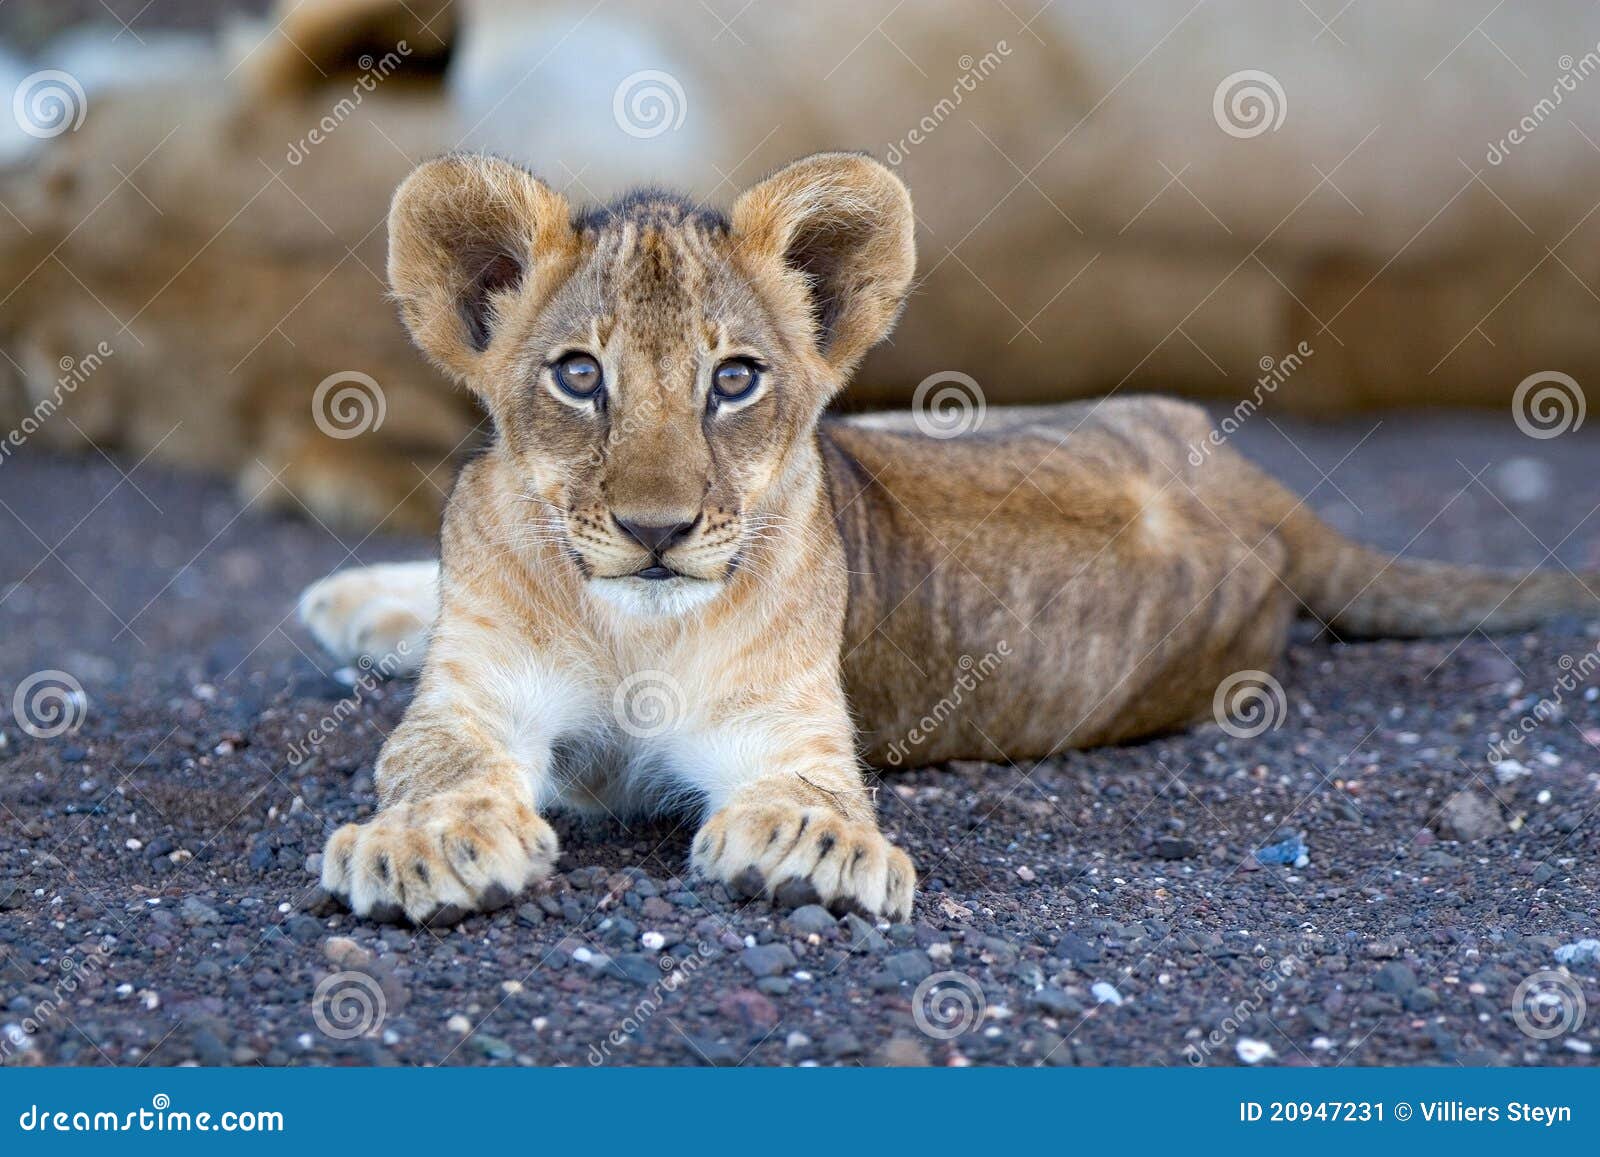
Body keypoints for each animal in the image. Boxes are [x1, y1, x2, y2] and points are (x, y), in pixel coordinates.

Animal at [299, 151, 1600, 925]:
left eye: (734, 380)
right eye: (579, 375)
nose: (656, 530)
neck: (632, 631)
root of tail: (1230, 461)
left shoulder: (790, 720)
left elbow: (812, 785)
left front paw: (808, 845)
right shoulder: (472, 696)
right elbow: (440, 757)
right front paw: (433, 846)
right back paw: (347, 602)